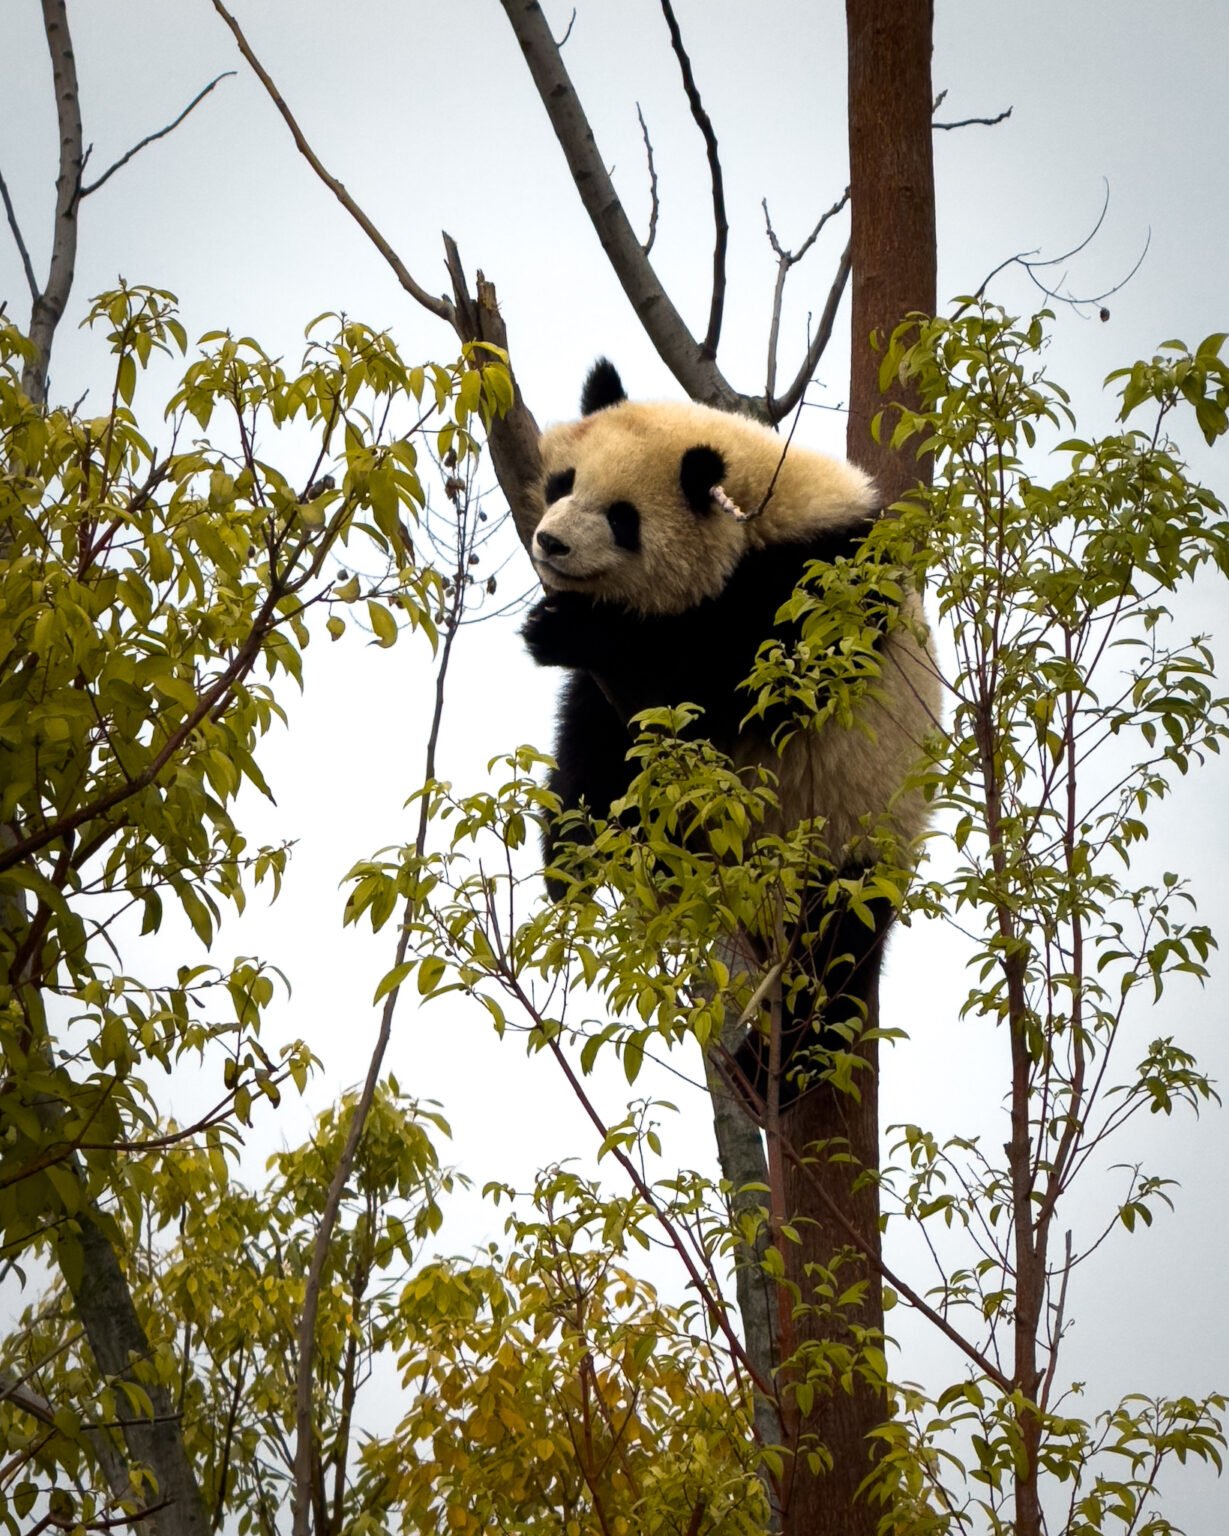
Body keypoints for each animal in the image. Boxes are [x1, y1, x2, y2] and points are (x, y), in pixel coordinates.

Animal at [521, 359, 938, 1109]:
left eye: (621, 518)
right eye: (563, 481)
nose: (550, 542)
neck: (762, 506)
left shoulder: (818, 586)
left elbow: (720, 691)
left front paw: (570, 631)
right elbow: (597, 739)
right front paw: (568, 855)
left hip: (849, 835)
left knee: (831, 957)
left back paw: (771, 1070)